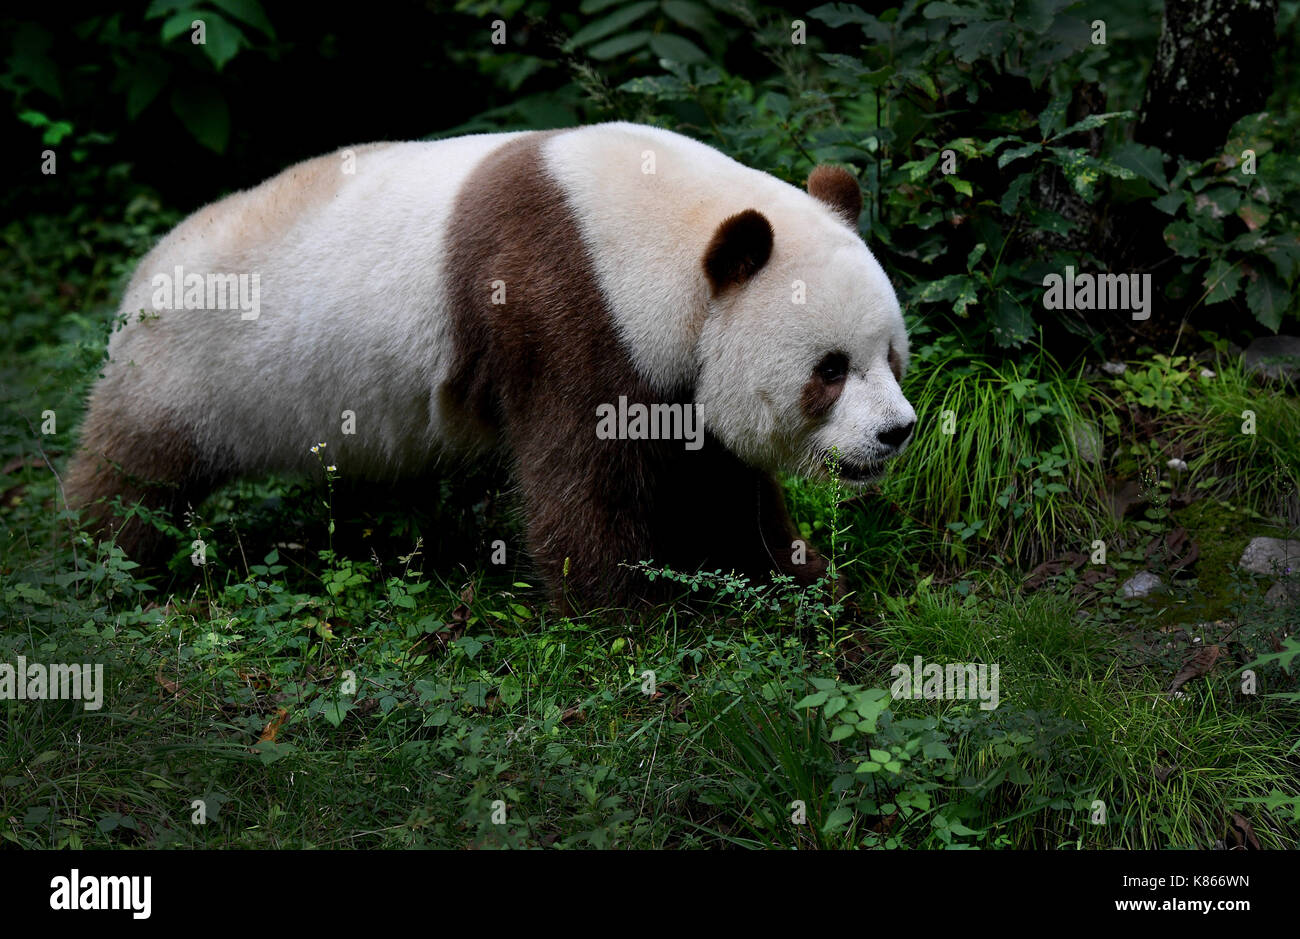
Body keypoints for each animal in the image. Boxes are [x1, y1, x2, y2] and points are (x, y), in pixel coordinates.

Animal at [65, 122, 916, 607]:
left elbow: (723, 481)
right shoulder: (565, 304)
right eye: (829, 369)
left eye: (891, 355)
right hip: (184, 367)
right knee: (133, 472)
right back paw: (99, 568)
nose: (895, 433)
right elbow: (581, 474)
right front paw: (622, 613)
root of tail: (142, 273)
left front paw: (810, 580)